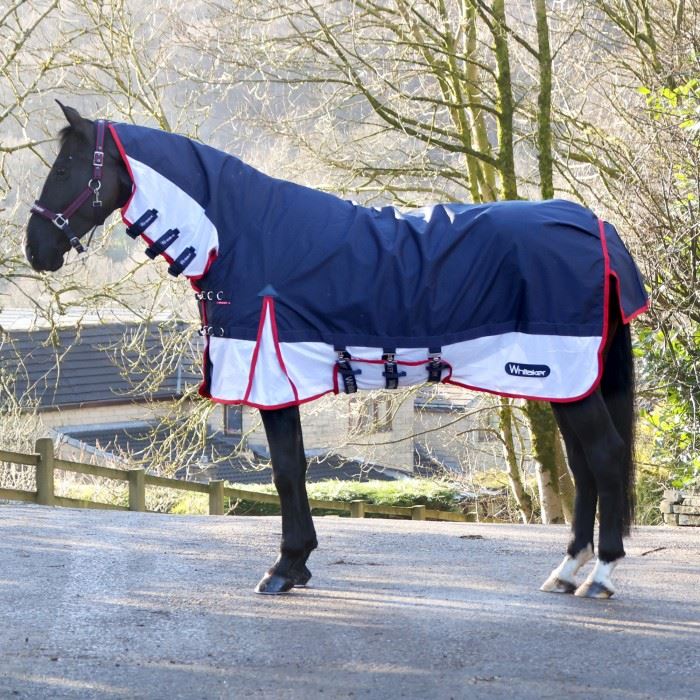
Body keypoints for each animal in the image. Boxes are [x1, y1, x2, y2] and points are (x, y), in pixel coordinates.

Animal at [25, 103, 648, 598]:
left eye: (65, 168)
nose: (36, 249)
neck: (243, 234)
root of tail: (594, 226)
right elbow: (297, 466)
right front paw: (299, 562)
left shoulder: (270, 379)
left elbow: (284, 470)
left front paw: (283, 568)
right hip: (565, 383)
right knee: (583, 467)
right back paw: (566, 571)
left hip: (562, 377)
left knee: (605, 457)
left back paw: (600, 575)